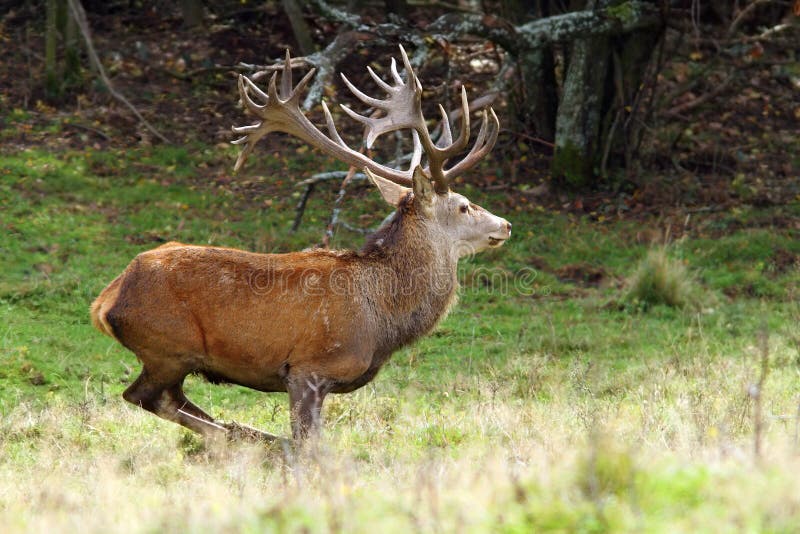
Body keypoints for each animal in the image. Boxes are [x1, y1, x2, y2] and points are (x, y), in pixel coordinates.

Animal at [90, 46, 511, 442]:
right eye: (463, 206)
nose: (505, 225)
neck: (382, 319)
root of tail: (106, 301)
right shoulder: (308, 369)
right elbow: (312, 443)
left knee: (171, 400)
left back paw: (245, 434)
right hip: (169, 347)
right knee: (146, 396)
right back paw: (248, 438)